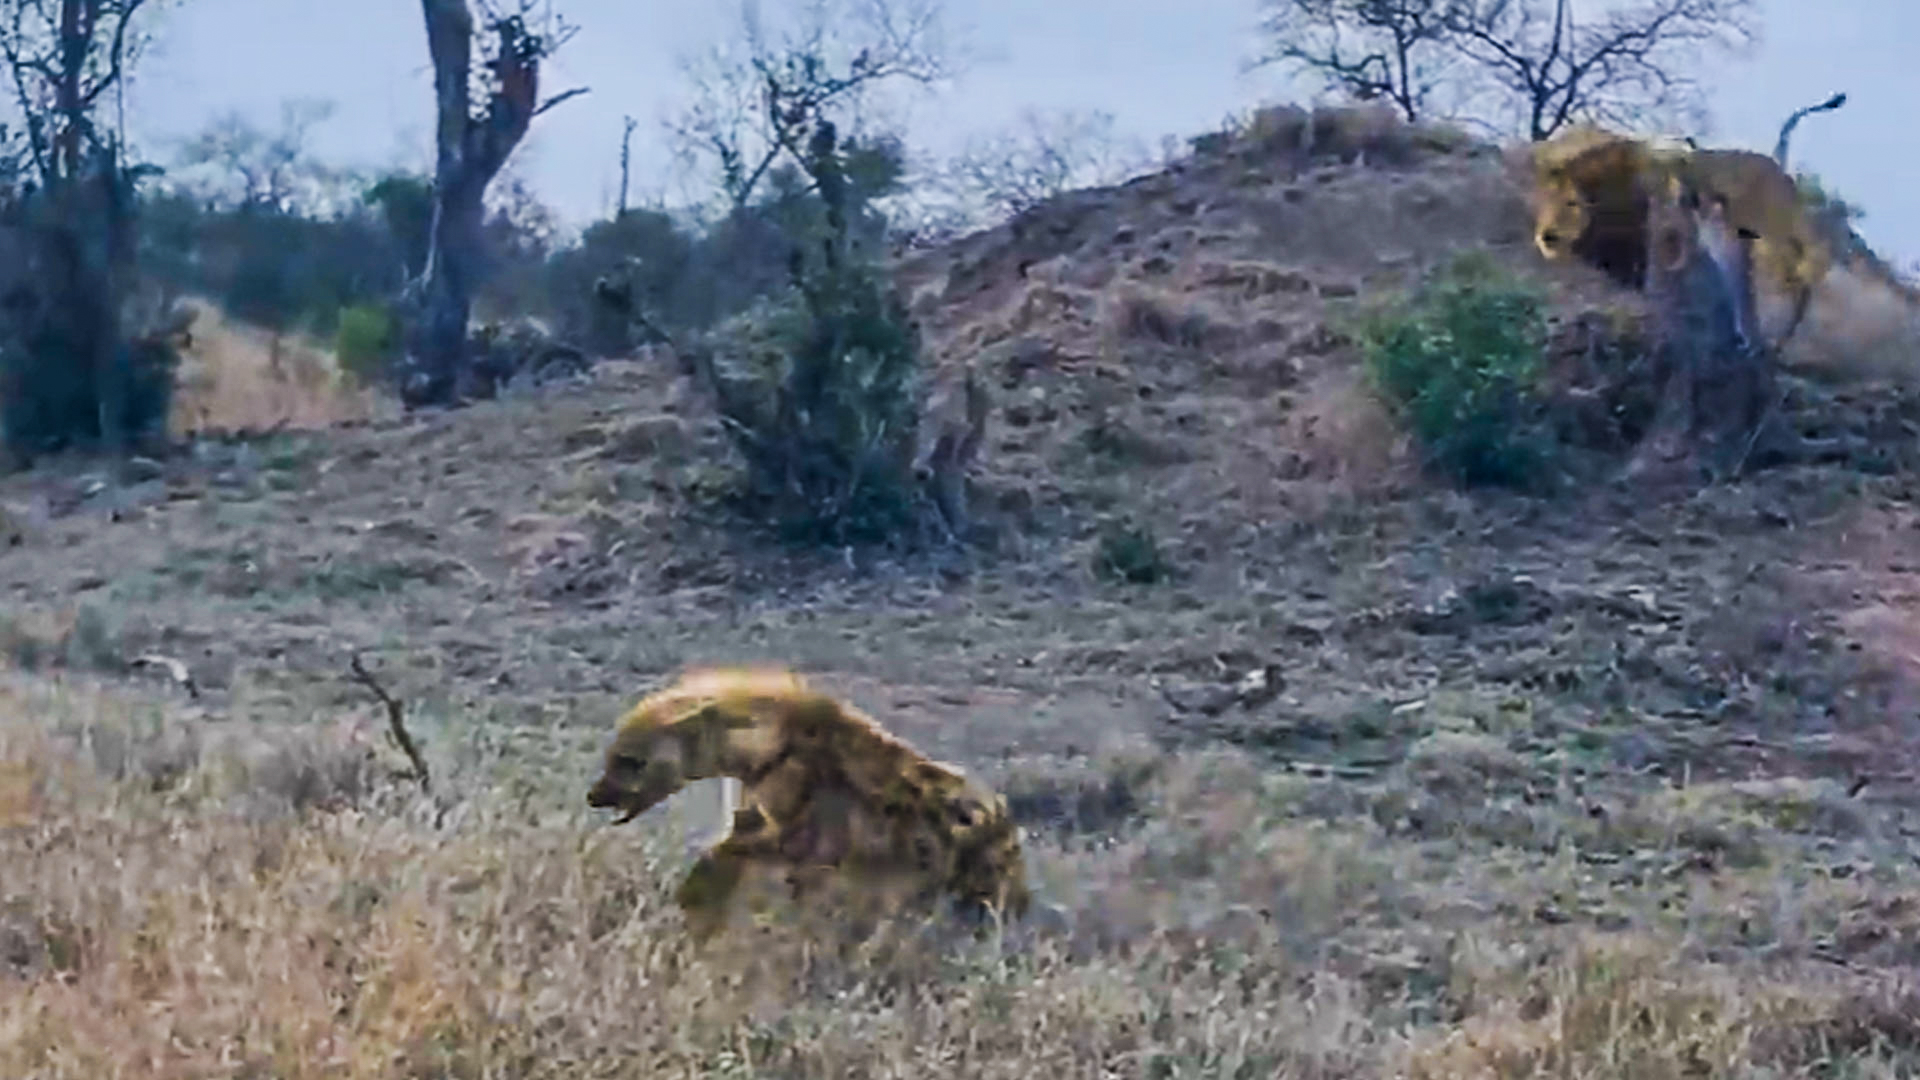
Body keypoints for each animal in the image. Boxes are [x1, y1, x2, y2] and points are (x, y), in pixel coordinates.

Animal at [585, 666, 1033, 942]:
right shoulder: (760, 811)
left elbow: (744, 855)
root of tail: (1008, 821)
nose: (594, 795)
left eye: (630, 762)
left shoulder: (808, 825)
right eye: (611, 757)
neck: (763, 751)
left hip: (978, 875)